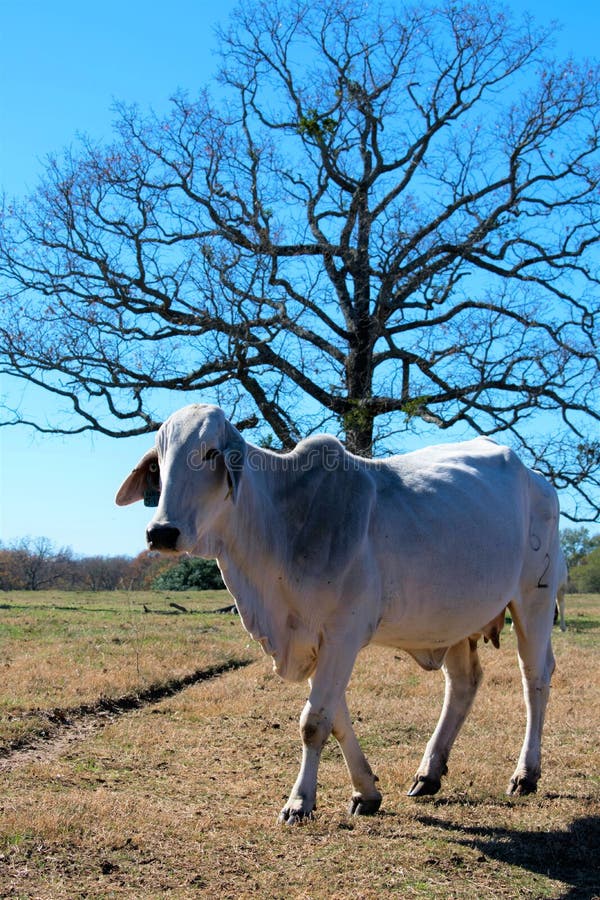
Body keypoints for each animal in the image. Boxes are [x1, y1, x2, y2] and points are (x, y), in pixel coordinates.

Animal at [116, 404, 562, 824]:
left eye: (210, 453)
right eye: (159, 459)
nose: (161, 532)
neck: (281, 523)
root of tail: (538, 478)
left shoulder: (343, 633)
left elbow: (314, 721)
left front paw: (300, 802)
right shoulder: (313, 638)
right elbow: (336, 716)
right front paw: (366, 792)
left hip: (534, 600)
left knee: (535, 679)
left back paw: (526, 774)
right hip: (454, 620)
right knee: (463, 684)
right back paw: (429, 773)